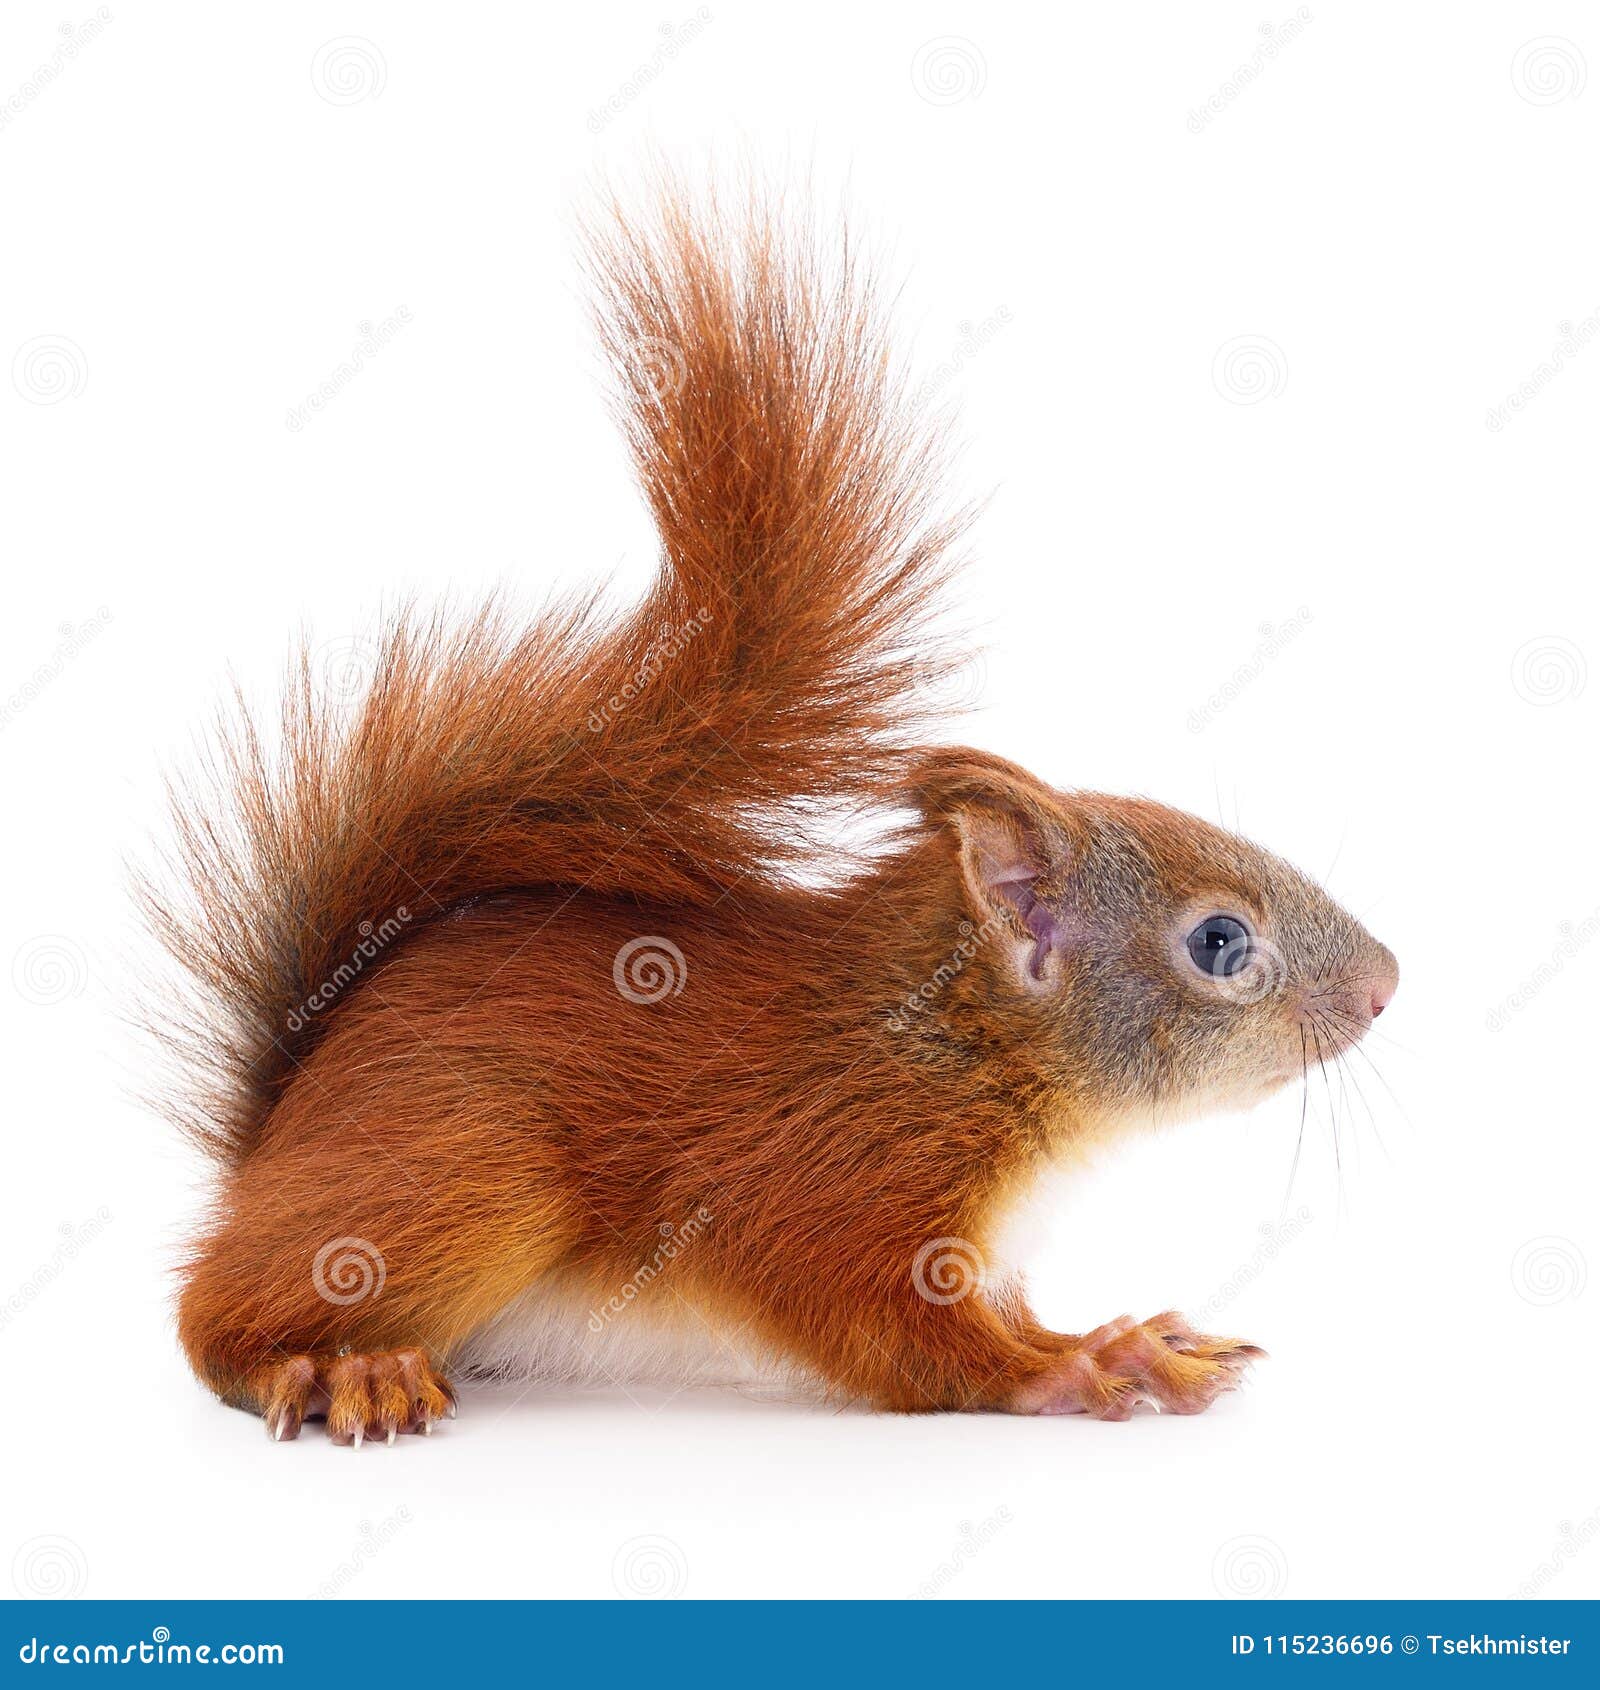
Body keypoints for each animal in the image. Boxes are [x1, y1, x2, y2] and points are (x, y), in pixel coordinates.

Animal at [146, 177, 1398, 1443]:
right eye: (1220, 942)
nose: (1387, 985)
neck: (954, 1048)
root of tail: (269, 1142)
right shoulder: (838, 1174)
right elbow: (895, 1331)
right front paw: (1084, 1366)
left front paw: (1129, 1335)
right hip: (463, 1172)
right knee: (214, 1320)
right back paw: (332, 1367)